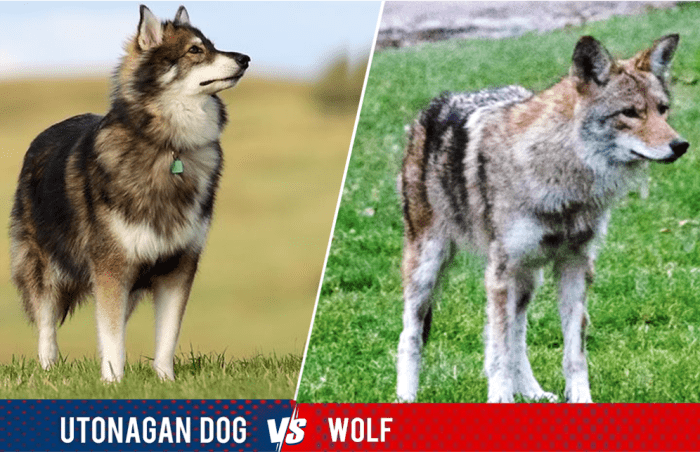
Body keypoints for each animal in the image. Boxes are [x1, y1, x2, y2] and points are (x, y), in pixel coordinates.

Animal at [10, 5, 249, 382]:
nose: (245, 59)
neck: (169, 147)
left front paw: (165, 381)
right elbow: (110, 334)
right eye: (195, 50)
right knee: (47, 325)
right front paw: (113, 382)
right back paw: (48, 370)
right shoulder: (111, 266)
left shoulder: (178, 266)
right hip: (44, 267)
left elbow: (165, 336)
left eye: (211, 45)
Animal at [396, 35, 687, 403]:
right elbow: (499, 353)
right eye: (630, 113)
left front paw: (580, 400)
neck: (561, 175)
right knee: (412, 334)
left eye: (662, 109)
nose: (680, 145)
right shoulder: (501, 272)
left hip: (527, 280)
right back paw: (406, 397)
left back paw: (533, 393)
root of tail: (434, 105)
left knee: (515, 338)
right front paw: (500, 399)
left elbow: (573, 353)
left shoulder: (576, 266)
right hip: (428, 267)